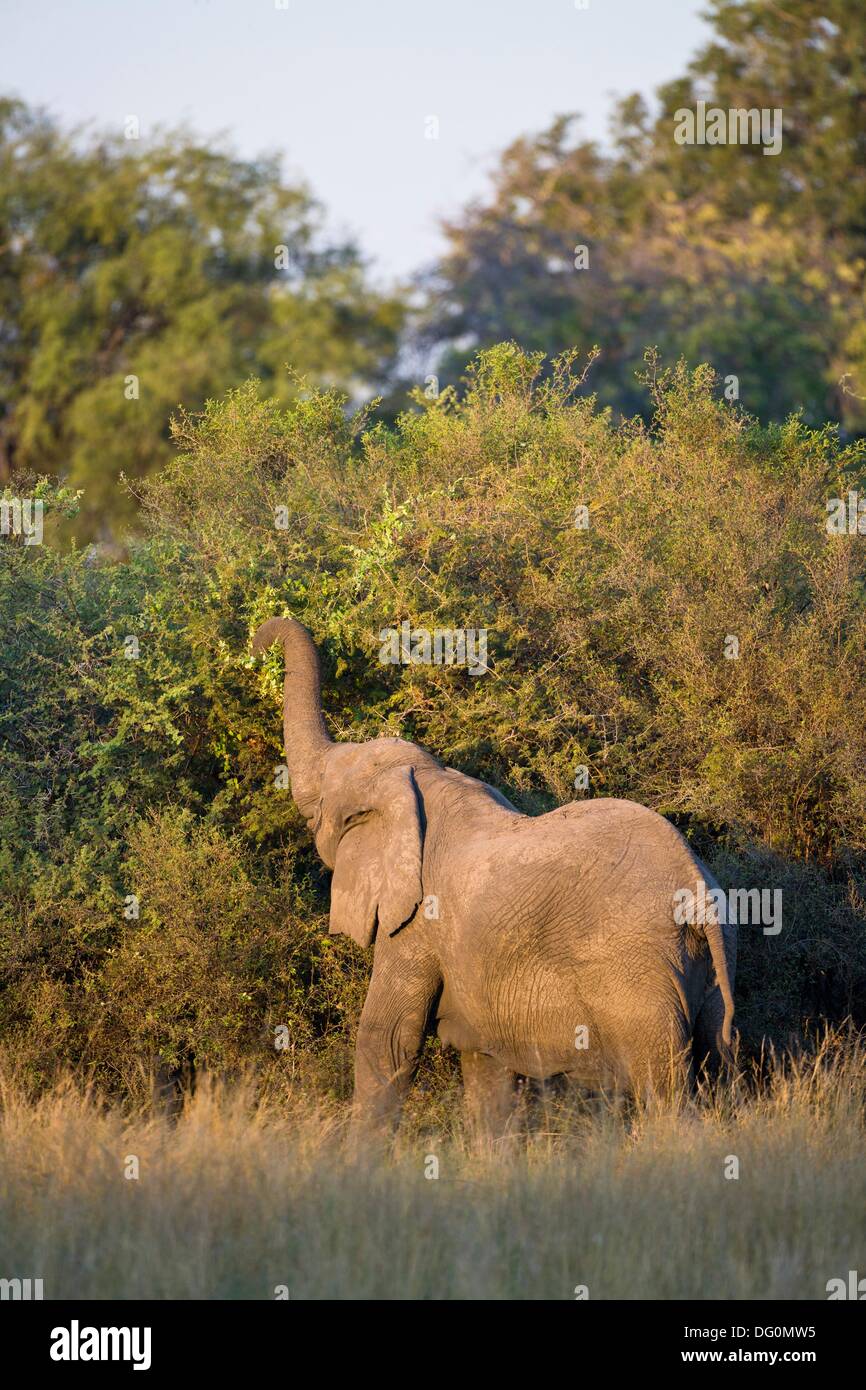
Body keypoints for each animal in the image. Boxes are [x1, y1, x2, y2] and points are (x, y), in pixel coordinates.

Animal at [252, 616, 736, 1137]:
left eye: (321, 805)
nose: (259, 645)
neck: (424, 783)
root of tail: (694, 881)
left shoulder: (418, 923)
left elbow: (388, 1039)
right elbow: (485, 1069)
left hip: (637, 975)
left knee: (664, 1088)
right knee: (715, 1067)